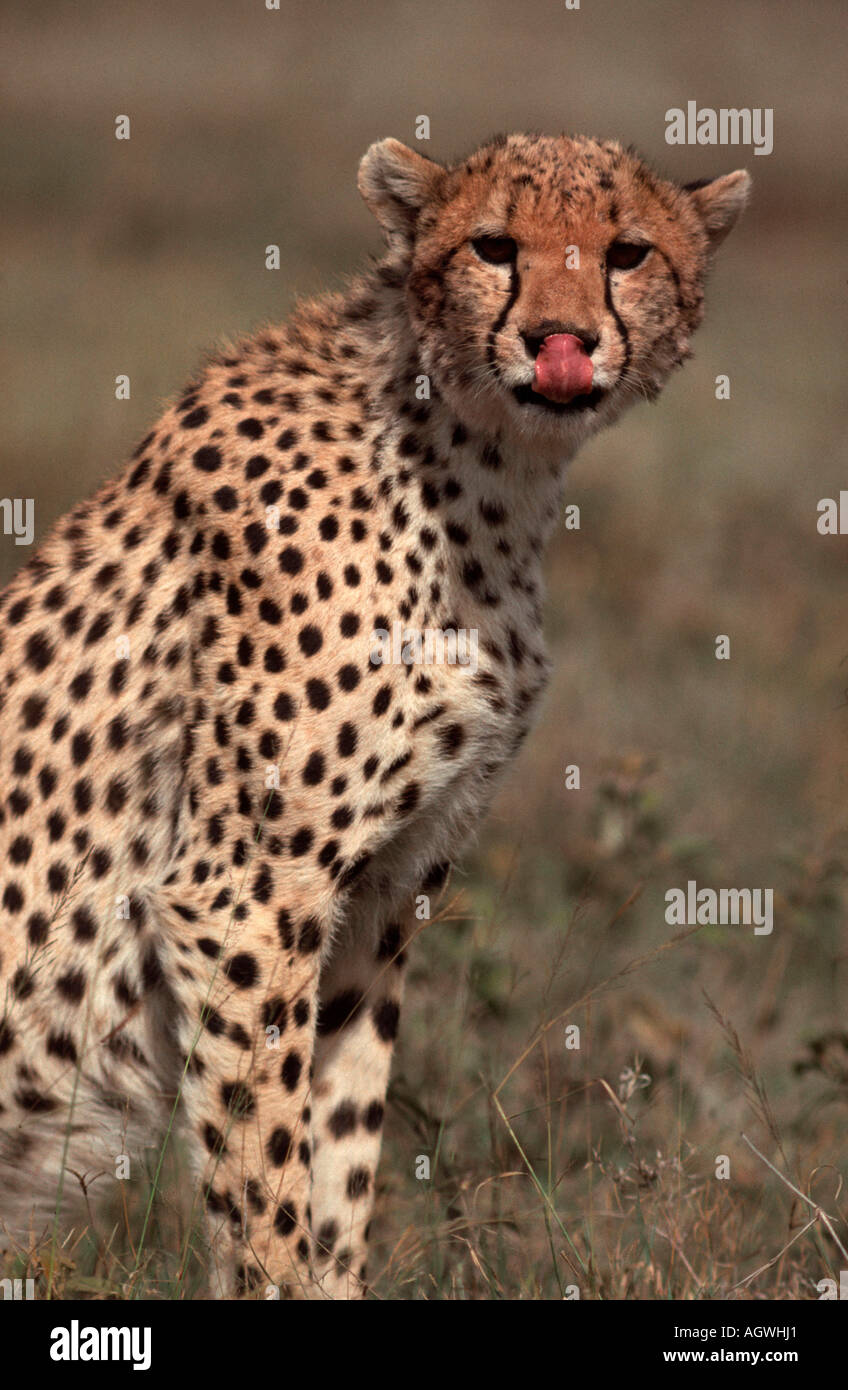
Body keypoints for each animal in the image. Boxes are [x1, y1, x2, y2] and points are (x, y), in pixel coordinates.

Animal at [0, 132, 749, 1298]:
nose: (562, 341)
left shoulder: (380, 894)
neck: (481, 470)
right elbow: (262, 1171)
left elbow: (336, 1150)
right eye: (494, 246)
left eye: (627, 253)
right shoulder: (243, 896)